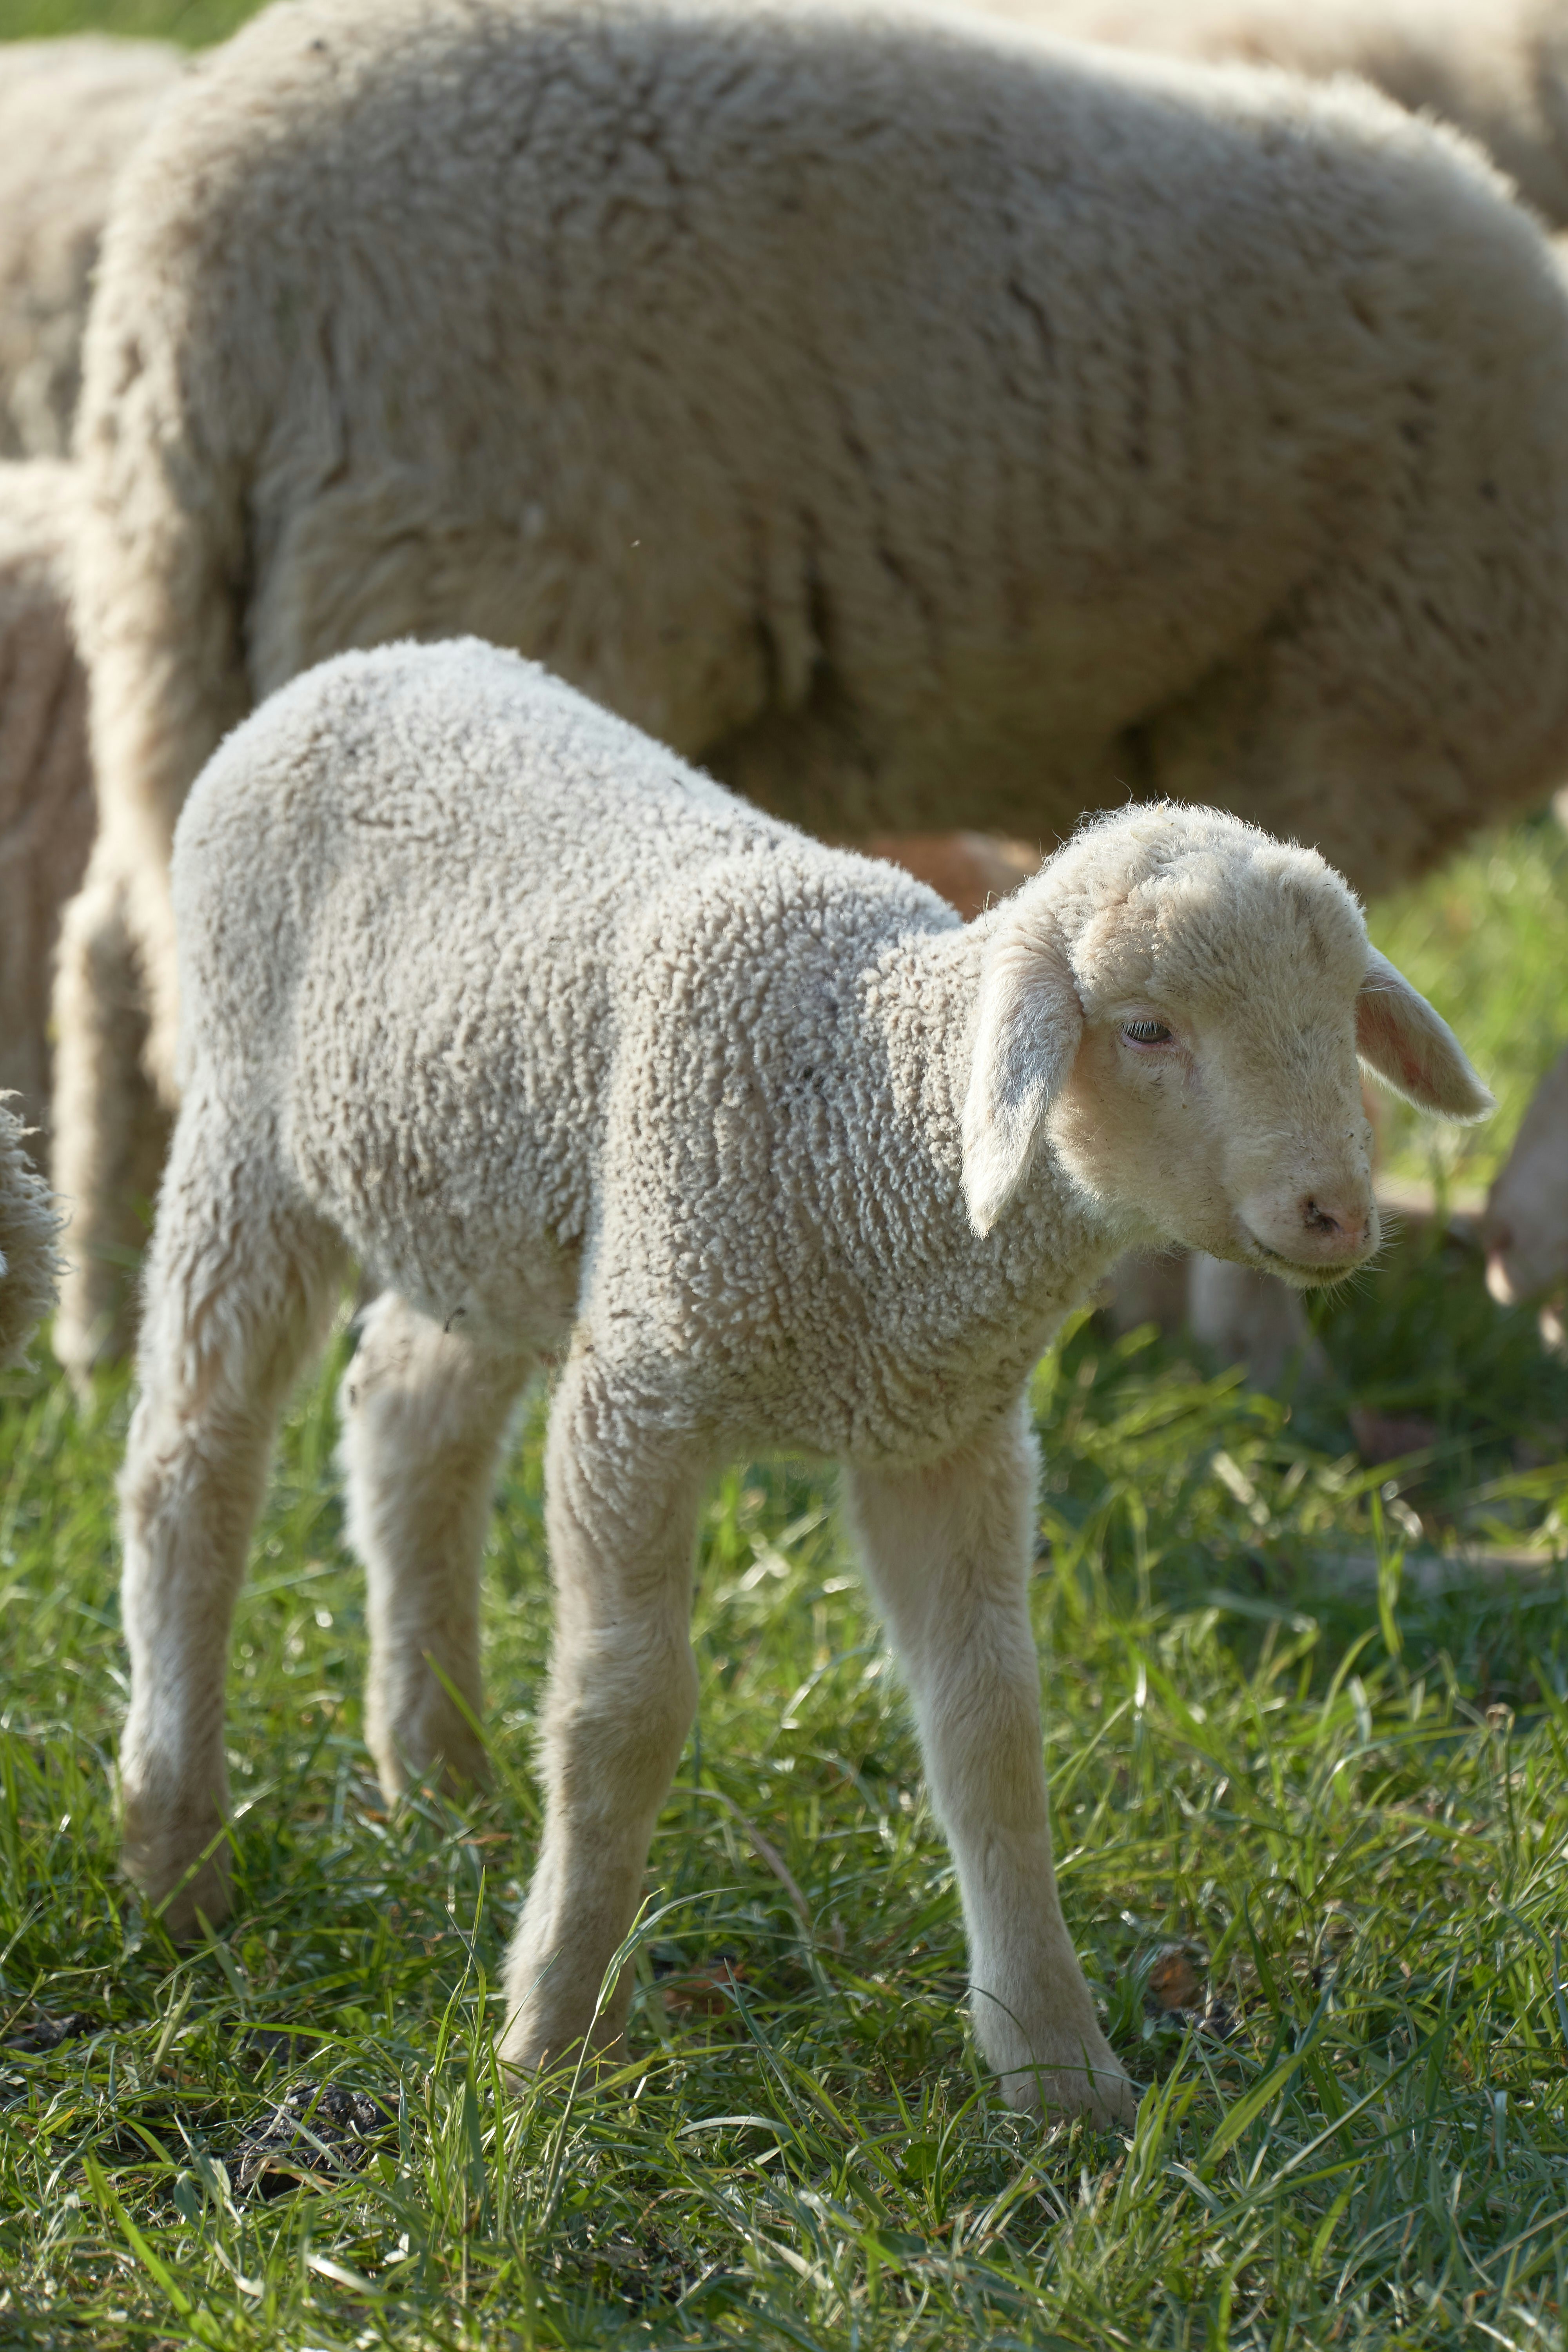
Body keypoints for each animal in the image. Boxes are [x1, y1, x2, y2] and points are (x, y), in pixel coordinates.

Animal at [61, 0, 1568, 1384]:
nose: (1509, 1258)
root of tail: (203, 248)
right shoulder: (1325, 717)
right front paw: (1261, 1357)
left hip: (168, 615)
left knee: (120, 963)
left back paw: (98, 1326)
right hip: (447, 580)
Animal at [118, 636, 1492, 2118]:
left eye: (1340, 1015)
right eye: (1144, 1030)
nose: (1334, 1214)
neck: (875, 1123)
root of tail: (377, 661)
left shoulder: (941, 1434)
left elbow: (990, 1728)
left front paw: (1057, 2065)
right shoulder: (640, 1397)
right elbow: (624, 1713)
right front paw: (557, 2036)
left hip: (493, 1213)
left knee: (404, 1416)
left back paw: (438, 1771)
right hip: (248, 1126)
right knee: (191, 1463)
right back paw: (175, 1851)